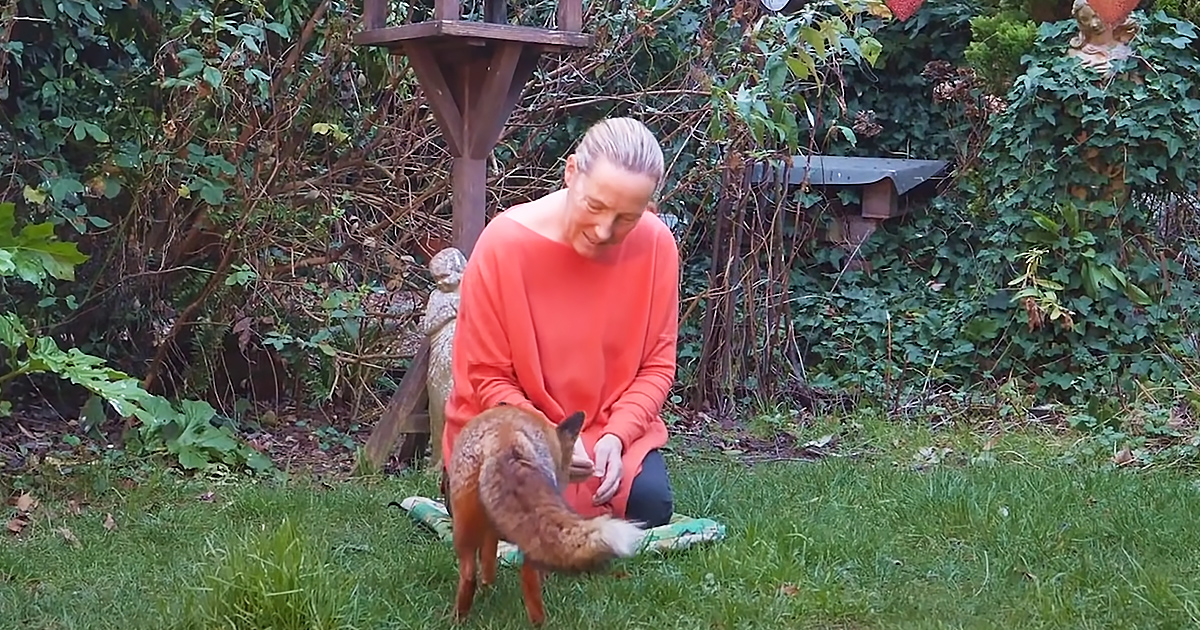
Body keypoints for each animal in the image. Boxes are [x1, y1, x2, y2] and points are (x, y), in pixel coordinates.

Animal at [445, 403, 646, 625]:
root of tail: (505, 437)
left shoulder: (491, 528)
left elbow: (488, 561)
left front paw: (488, 588)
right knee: (528, 574)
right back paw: (540, 622)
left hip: (463, 529)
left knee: (468, 575)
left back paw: (458, 619)